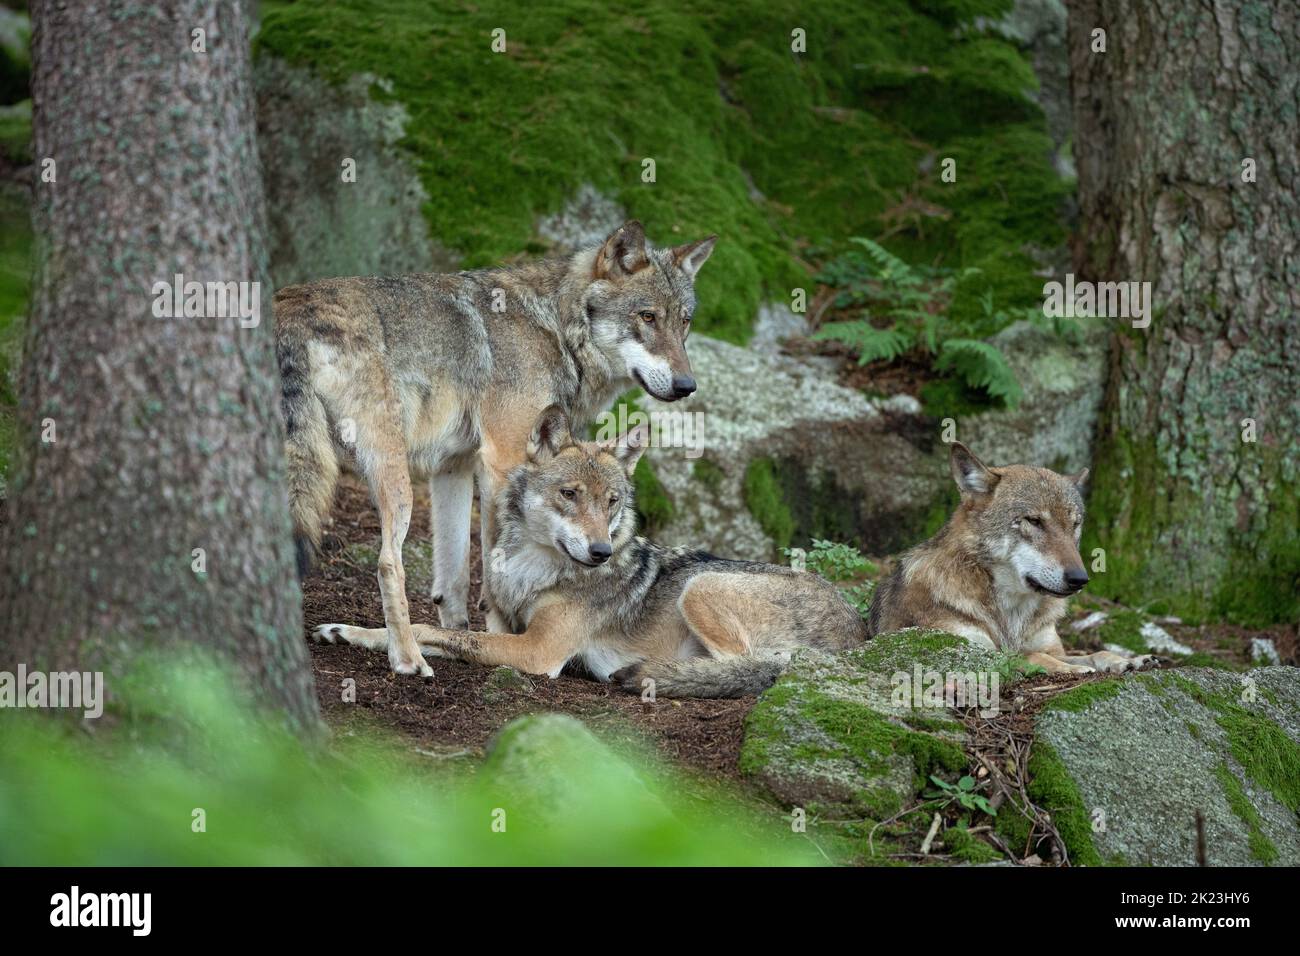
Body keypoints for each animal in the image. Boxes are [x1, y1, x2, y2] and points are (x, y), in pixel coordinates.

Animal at [276, 222, 715, 675]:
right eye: (647, 317)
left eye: (684, 322)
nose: (687, 386)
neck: (555, 325)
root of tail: (291, 308)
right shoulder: (502, 460)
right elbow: (491, 564)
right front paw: (498, 634)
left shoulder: (452, 466)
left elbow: (453, 578)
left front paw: (457, 632)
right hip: (393, 473)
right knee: (387, 562)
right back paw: (408, 660)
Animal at [314, 406, 869, 697]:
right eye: (570, 495)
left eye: (612, 502)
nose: (601, 550)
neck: (536, 569)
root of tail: (860, 635)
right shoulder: (509, 624)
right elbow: (429, 629)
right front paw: (351, 633)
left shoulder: (538, 652)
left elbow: (441, 632)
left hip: (701, 586)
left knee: (748, 669)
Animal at [866, 442, 1156, 674]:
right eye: (1034, 521)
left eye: (1074, 525)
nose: (1079, 579)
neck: (1012, 615)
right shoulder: (966, 648)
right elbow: (1031, 656)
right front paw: (1074, 670)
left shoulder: (1051, 646)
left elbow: (1094, 653)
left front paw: (1126, 660)